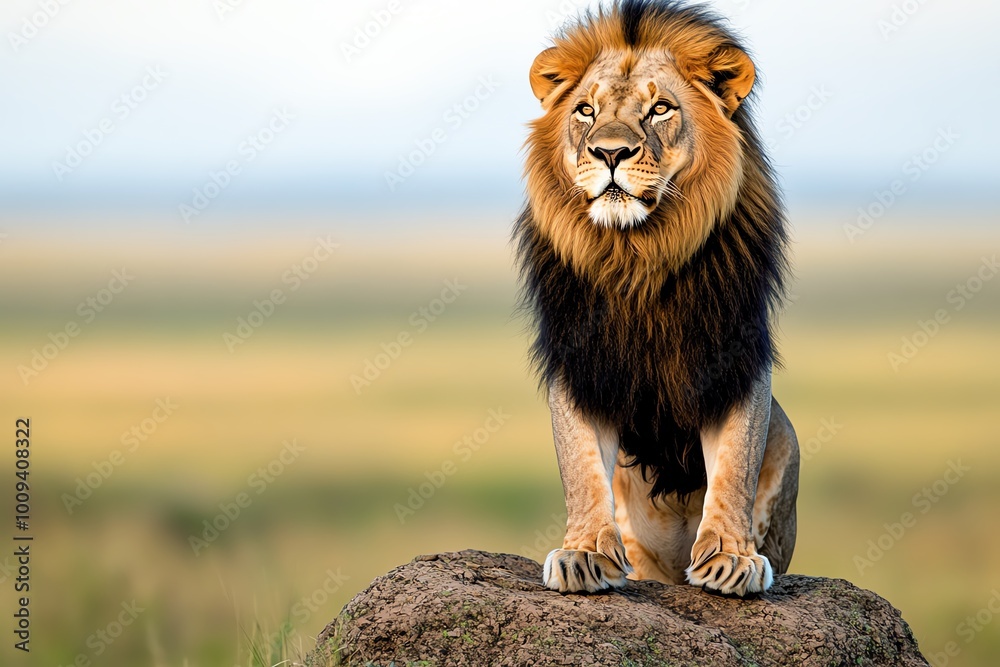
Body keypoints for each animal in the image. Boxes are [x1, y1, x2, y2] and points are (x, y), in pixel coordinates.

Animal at [514, 0, 799, 597]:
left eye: (660, 109)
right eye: (585, 111)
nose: (610, 152)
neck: (637, 255)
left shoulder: (735, 350)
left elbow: (735, 463)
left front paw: (732, 557)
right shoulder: (581, 359)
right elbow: (581, 467)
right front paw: (582, 554)